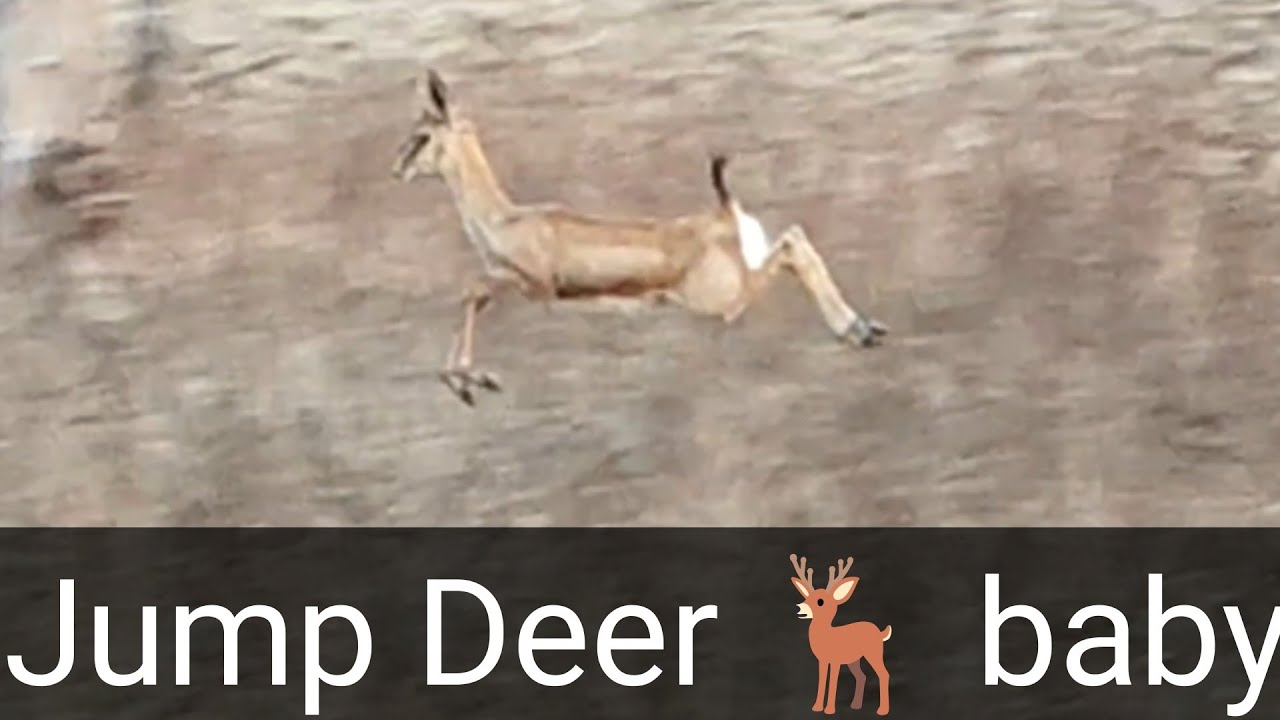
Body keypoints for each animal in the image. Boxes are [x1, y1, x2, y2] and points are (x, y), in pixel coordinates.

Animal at [391, 67, 888, 406]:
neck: (504, 220)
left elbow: (471, 291)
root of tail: (725, 211)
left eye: (422, 136)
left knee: (791, 247)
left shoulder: (533, 285)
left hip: (723, 301)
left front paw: (472, 382)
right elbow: (473, 298)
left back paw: (858, 330)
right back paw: (863, 330)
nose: (397, 168)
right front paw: (468, 381)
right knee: (796, 238)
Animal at [789, 553, 891, 716]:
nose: (800, 607)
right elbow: (822, 680)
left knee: (883, 674)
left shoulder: (836, 660)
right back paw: (855, 706)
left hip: (873, 653)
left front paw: (829, 710)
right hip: (854, 660)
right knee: (862, 676)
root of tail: (880, 632)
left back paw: (882, 710)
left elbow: (833, 682)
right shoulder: (823, 660)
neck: (827, 634)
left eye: (820, 601)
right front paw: (816, 708)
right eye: (807, 597)